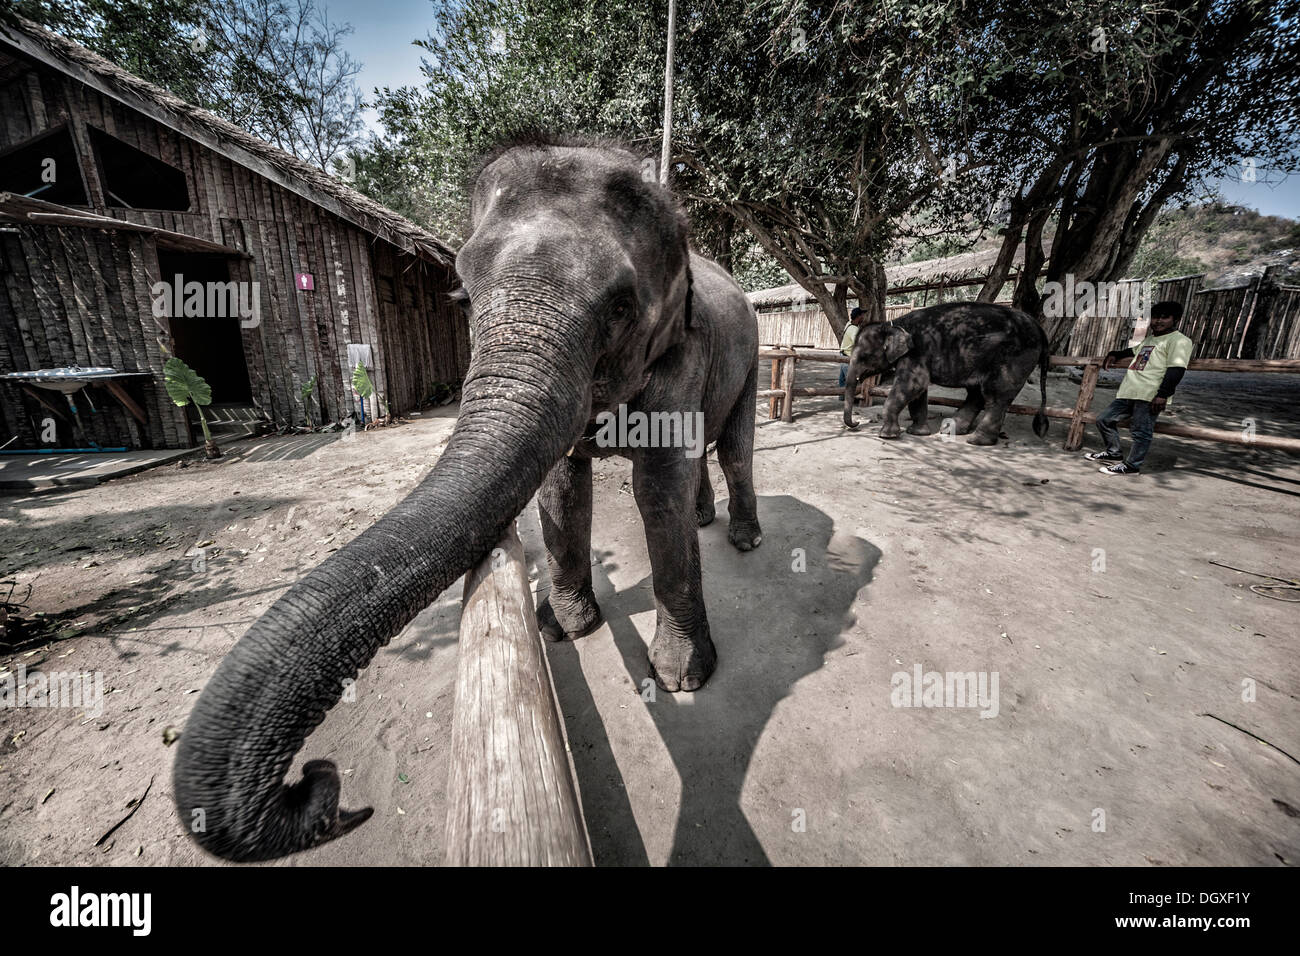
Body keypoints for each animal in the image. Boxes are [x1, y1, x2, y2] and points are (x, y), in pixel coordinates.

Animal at [172, 135, 763, 862]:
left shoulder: (684, 353)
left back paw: (743, 538)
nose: (318, 781)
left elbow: (657, 490)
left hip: (752, 352)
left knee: (733, 446)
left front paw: (681, 678)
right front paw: (564, 628)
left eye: (622, 307)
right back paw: (708, 519)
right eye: (461, 296)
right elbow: (561, 484)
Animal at [843, 302, 1050, 444]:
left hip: (1014, 358)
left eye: (864, 356)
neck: (893, 323)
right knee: (977, 393)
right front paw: (917, 433)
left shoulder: (916, 351)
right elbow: (919, 391)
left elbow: (913, 384)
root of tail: (1040, 328)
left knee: (995, 395)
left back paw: (976, 441)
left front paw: (887, 435)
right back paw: (951, 429)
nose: (856, 424)